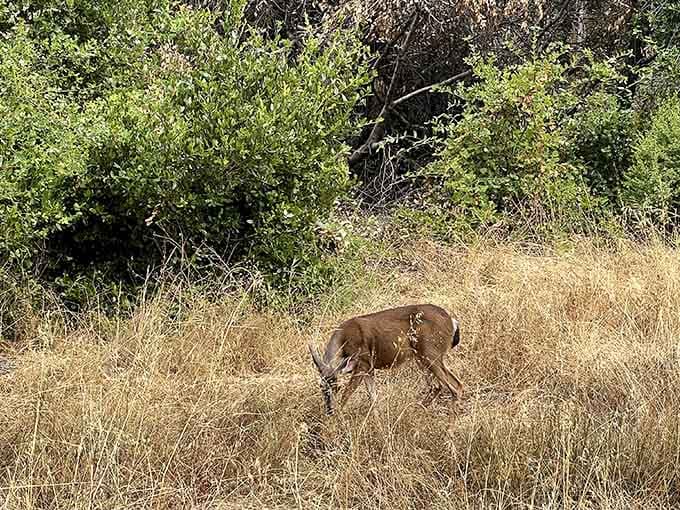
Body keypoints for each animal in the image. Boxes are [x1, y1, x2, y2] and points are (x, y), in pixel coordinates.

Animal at [308, 304, 462, 415]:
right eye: (321, 387)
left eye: (337, 387)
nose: (329, 411)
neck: (343, 342)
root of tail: (452, 321)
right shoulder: (369, 368)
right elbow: (373, 398)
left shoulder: (363, 363)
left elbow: (346, 396)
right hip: (422, 357)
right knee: (438, 386)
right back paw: (413, 412)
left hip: (430, 353)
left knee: (454, 386)